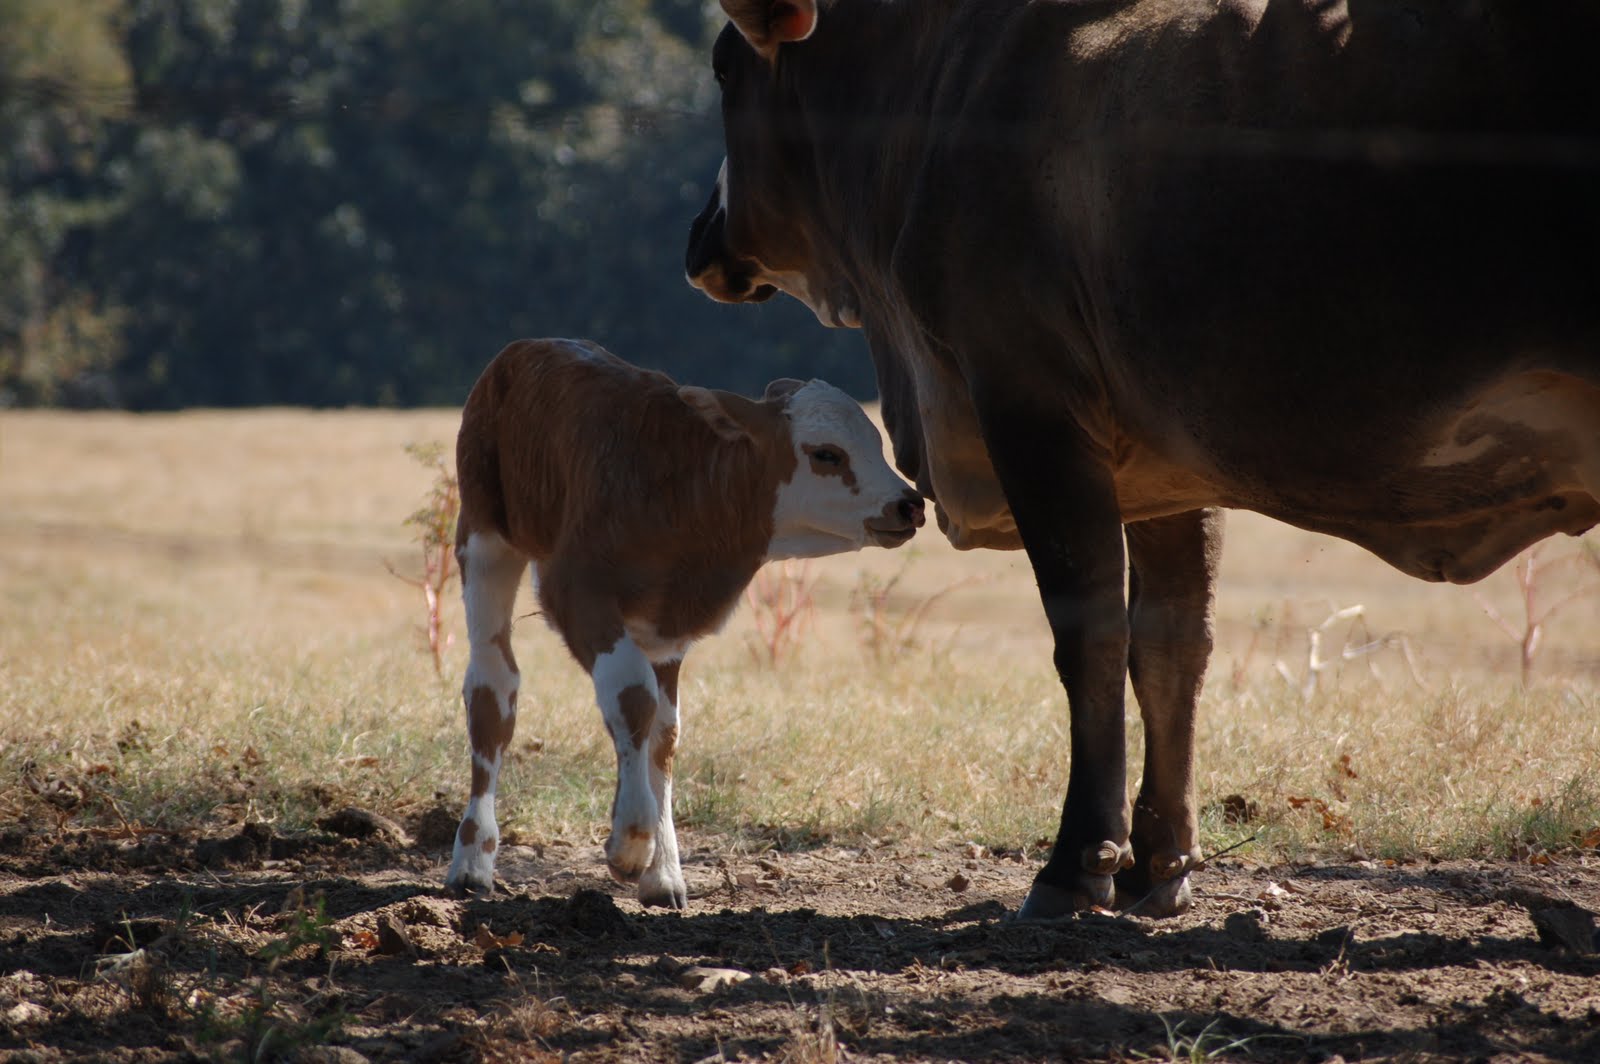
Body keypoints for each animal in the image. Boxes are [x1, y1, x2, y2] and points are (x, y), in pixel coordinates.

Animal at [445, 338, 924, 907]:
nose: (909, 503)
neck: (686, 490)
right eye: (826, 453)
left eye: (877, 442)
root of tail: (526, 349)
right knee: (493, 689)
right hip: (485, 536)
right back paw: (472, 860)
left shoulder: (670, 629)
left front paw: (663, 870)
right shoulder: (576, 590)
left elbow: (663, 735)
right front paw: (630, 844)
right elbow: (631, 698)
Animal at [685, 0, 1600, 919]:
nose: (701, 235)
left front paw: (1077, 860)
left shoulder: (1034, 409)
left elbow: (1089, 636)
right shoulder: (1165, 472)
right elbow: (1170, 645)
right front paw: (1159, 860)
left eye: (725, 68)